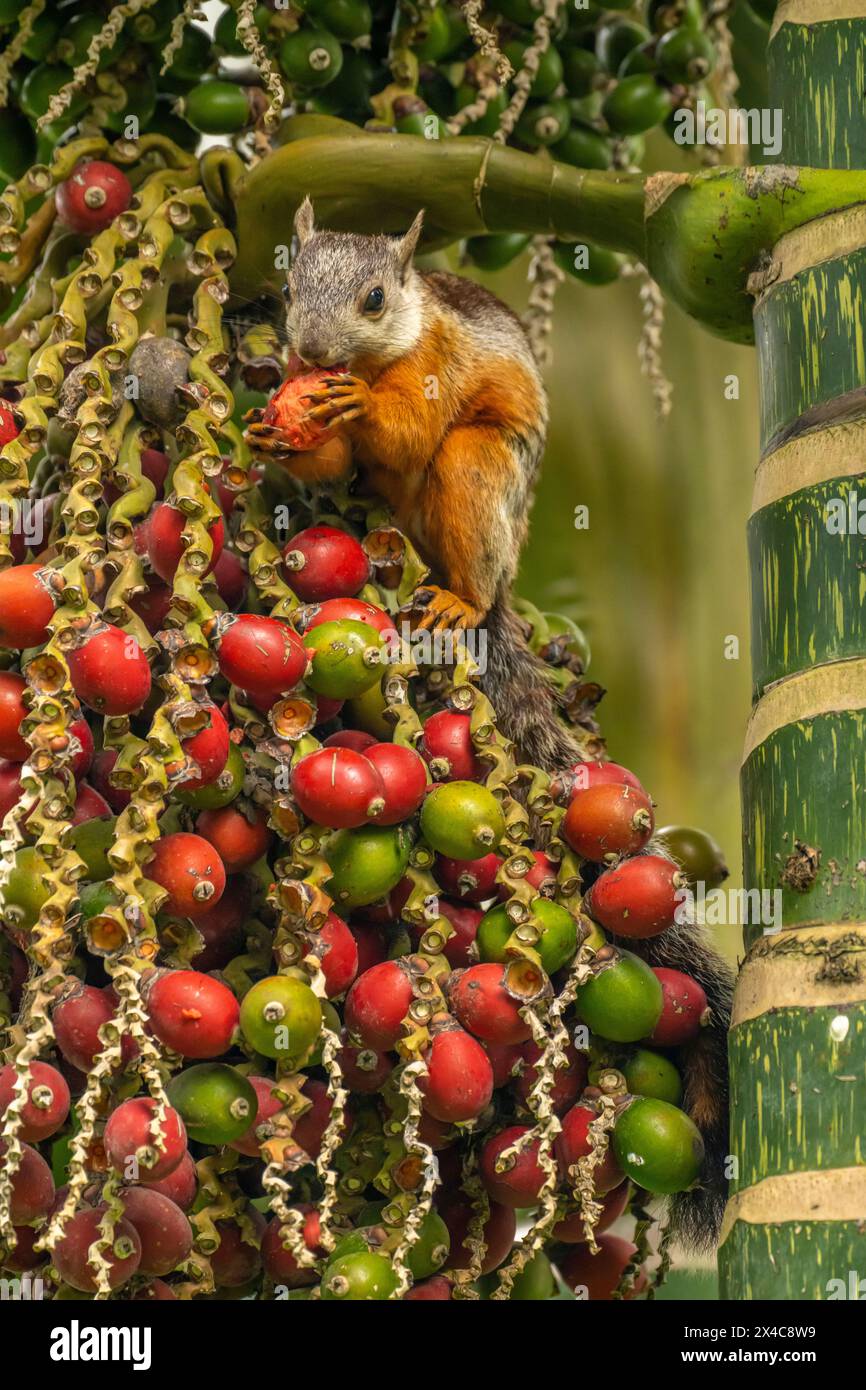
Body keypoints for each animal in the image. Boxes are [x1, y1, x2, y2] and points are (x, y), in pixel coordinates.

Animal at [253, 197, 734, 1250]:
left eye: (376, 297)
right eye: (288, 278)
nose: (309, 350)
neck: (391, 346)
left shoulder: (435, 371)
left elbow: (403, 424)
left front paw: (357, 405)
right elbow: (329, 453)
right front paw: (283, 424)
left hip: (479, 480)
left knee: (457, 507)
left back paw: (458, 603)